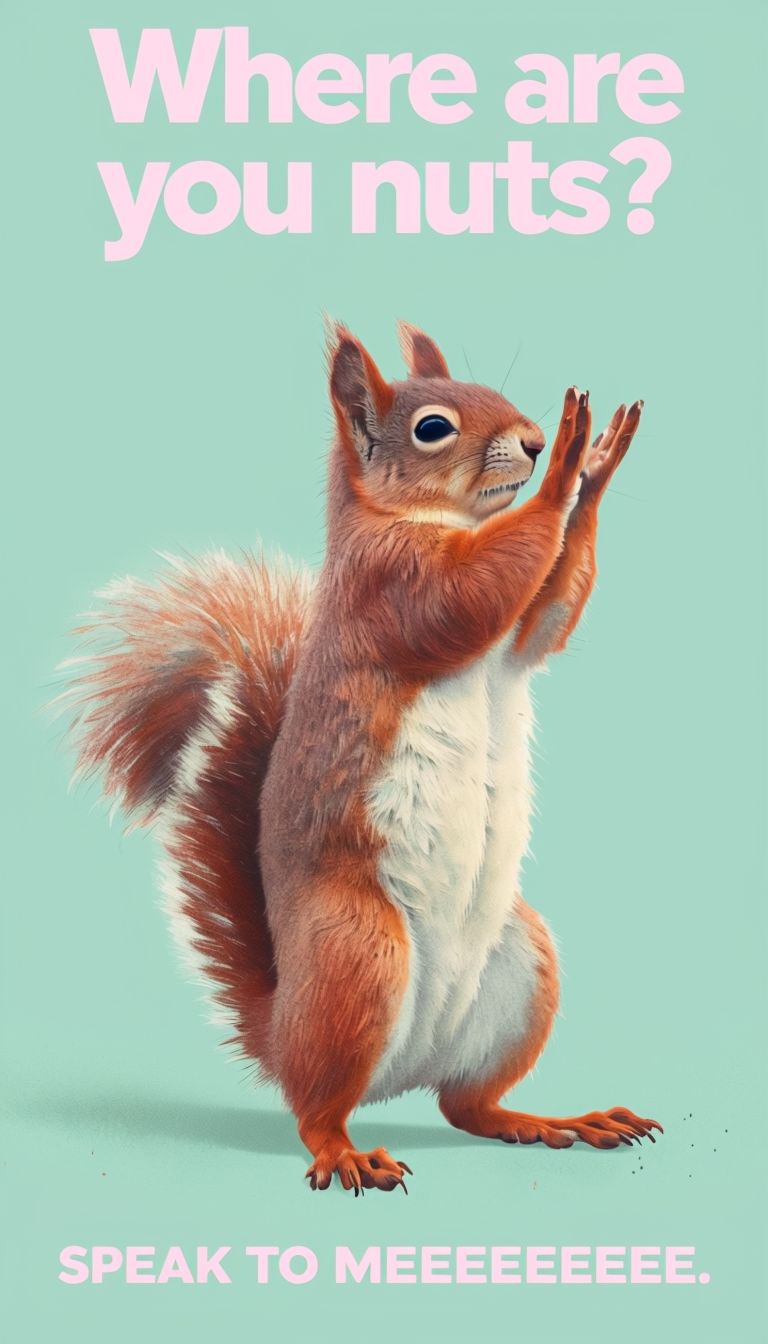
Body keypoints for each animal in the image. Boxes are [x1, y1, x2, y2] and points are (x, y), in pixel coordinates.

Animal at [64, 321, 661, 1194]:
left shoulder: (517, 636)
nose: (533, 438)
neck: (430, 518)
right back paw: (346, 1154)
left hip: (523, 968)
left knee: (468, 1105)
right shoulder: (387, 587)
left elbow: (547, 613)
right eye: (433, 428)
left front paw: (596, 465)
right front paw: (567, 469)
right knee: (318, 1109)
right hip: (357, 955)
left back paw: (551, 1121)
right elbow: (468, 595)